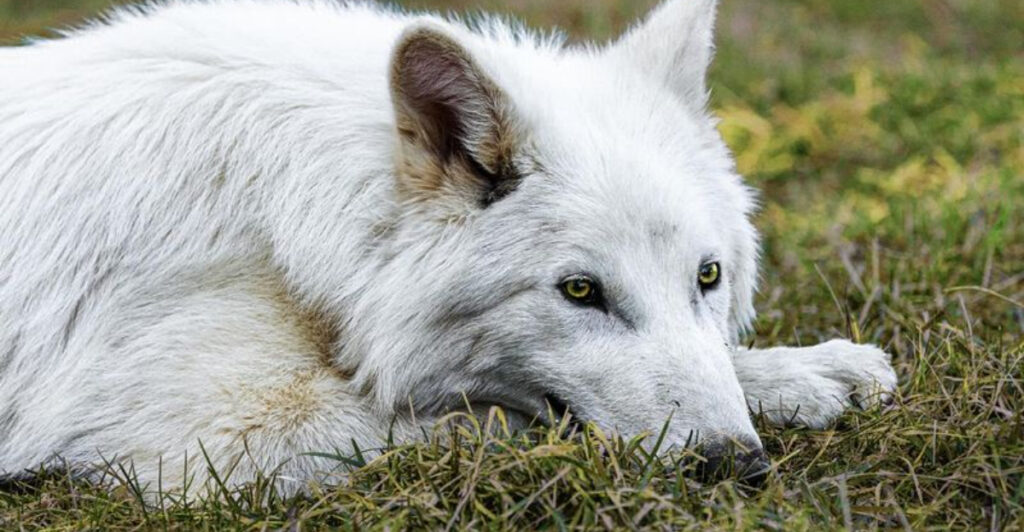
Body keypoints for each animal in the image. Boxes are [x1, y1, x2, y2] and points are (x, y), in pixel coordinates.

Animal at [0, 0, 897, 493]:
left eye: (707, 277)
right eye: (580, 291)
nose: (733, 465)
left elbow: (717, 364)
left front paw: (809, 373)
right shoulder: (221, 441)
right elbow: (504, 417)